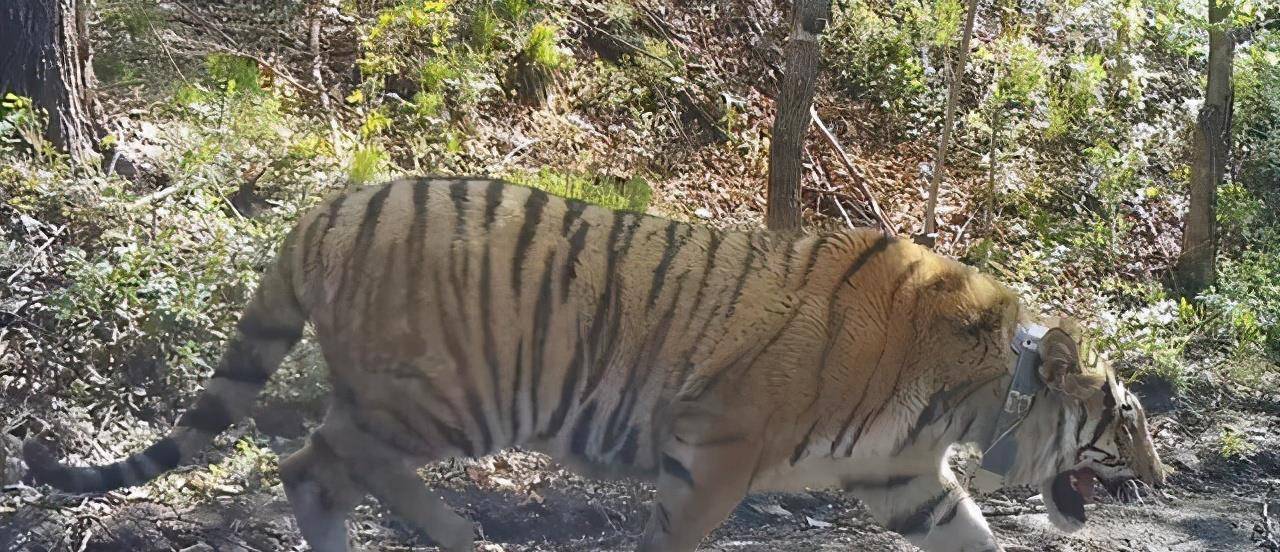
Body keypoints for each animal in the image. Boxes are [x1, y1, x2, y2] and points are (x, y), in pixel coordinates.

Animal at [23, 176, 1166, 552]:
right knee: (312, 460)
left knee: (324, 463)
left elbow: (973, 536)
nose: (1164, 479)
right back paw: (454, 538)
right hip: (449, 395)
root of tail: (321, 210)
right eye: (1128, 418)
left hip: (419, 398)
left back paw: (453, 539)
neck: (974, 397)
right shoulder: (716, 451)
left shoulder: (902, 481)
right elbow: (674, 541)